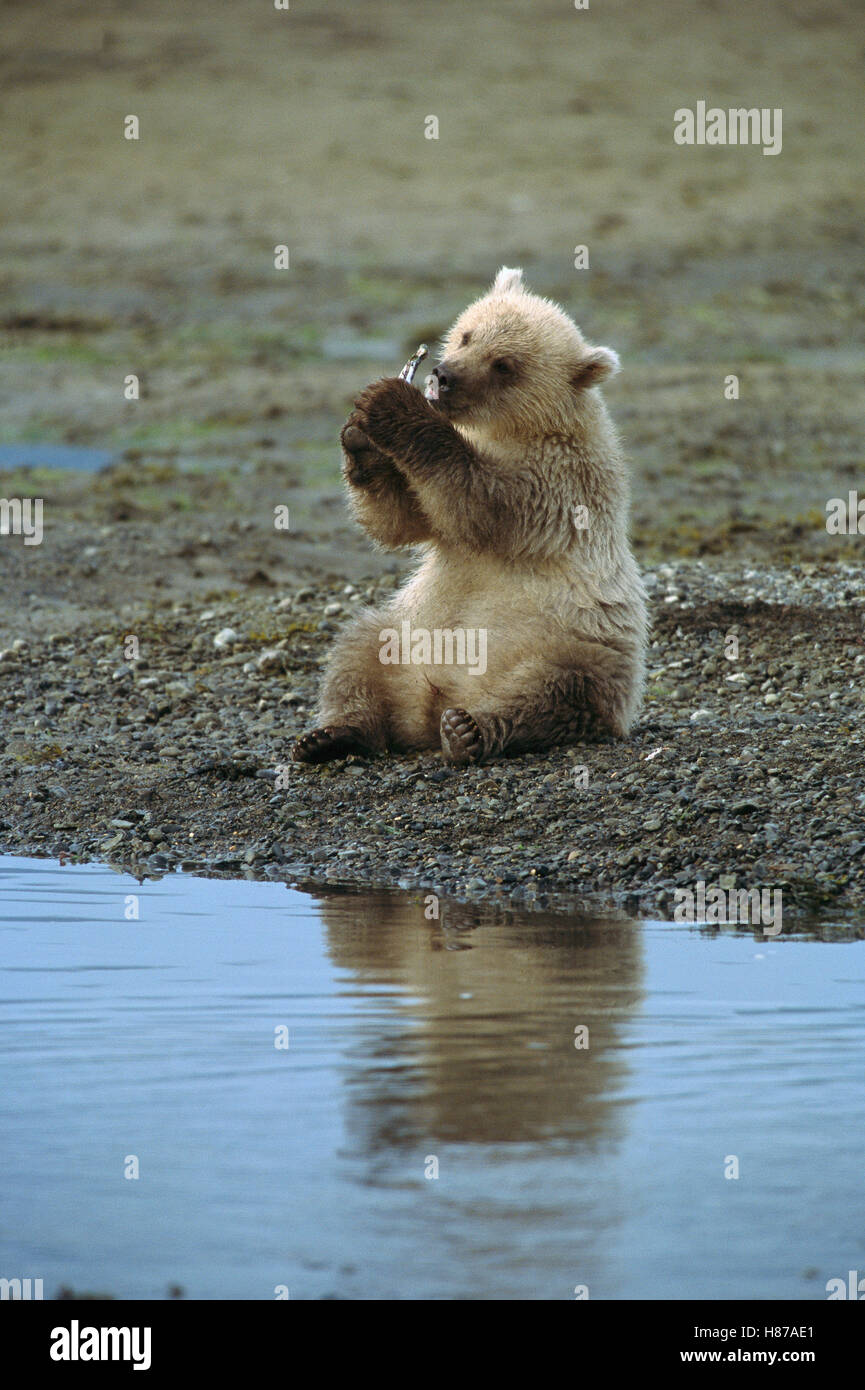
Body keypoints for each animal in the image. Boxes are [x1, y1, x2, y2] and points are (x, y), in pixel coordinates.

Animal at [293, 266, 647, 766]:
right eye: (467, 334)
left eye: (504, 364)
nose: (443, 375)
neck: (511, 429)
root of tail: (432, 702)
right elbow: (402, 519)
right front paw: (361, 435)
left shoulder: (558, 477)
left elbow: (479, 501)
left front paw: (392, 402)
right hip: (405, 636)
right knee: (356, 652)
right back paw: (332, 736)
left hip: (576, 645)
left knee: (554, 691)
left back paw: (468, 730)